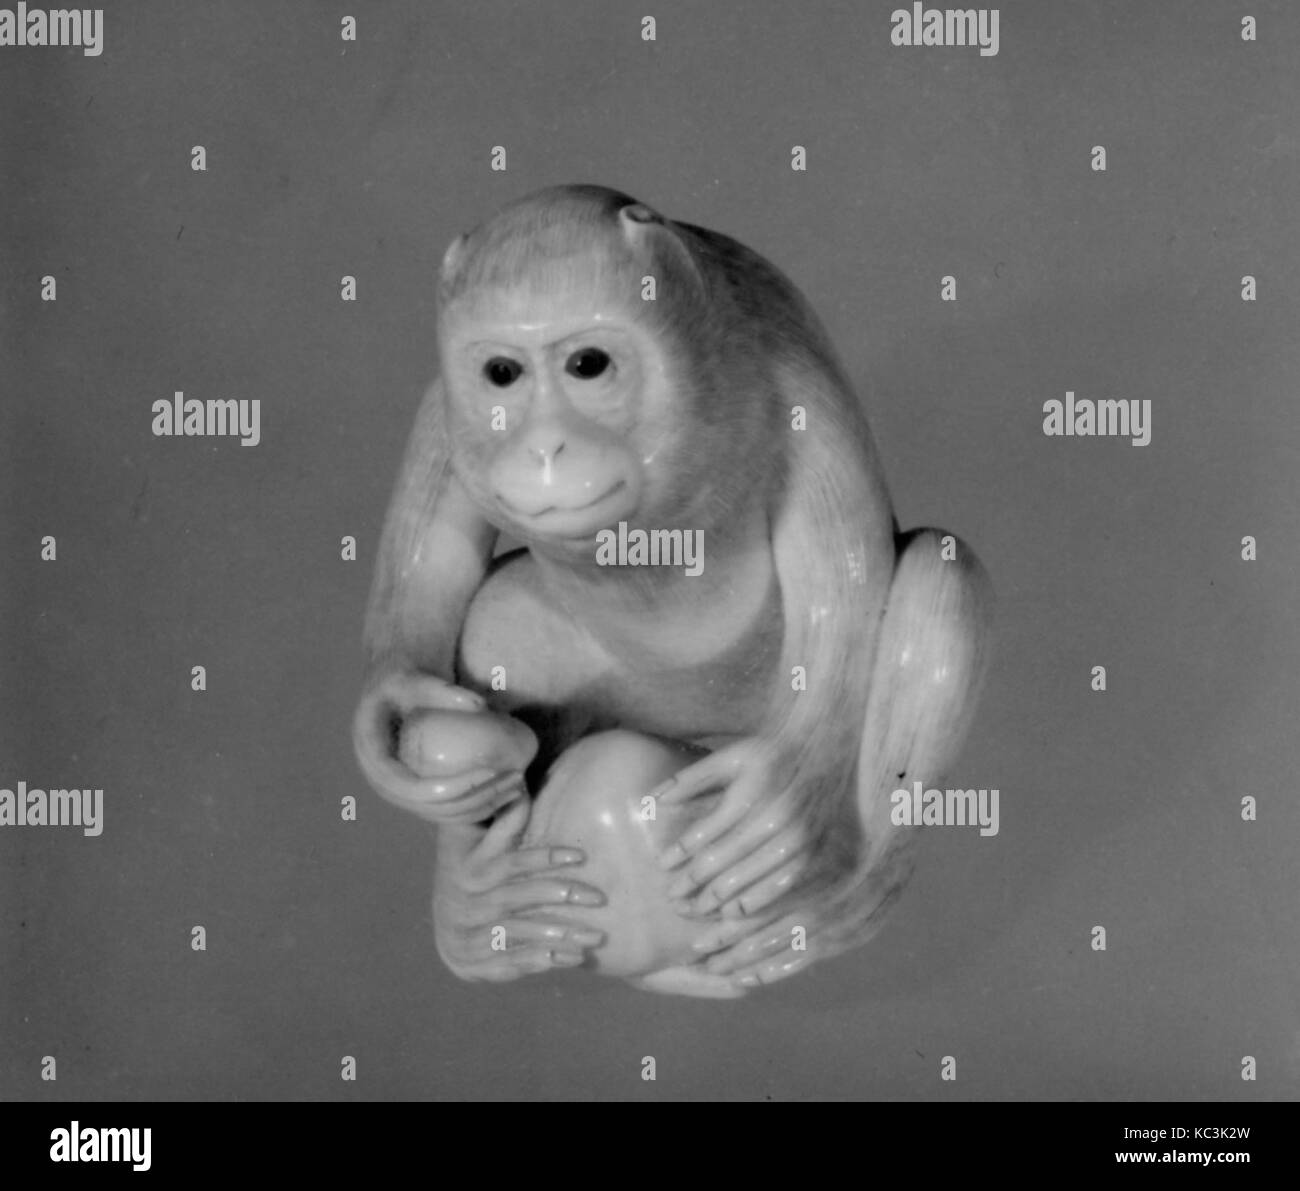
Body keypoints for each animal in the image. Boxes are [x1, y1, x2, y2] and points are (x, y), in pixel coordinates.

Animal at [353, 184, 993, 996]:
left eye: (588, 364)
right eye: (501, 374)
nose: (544, 448)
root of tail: (698, 719)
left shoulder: (789, 372)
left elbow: (844, 566)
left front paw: (784, 783)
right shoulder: (444, 408)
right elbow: (433, 540)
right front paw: (388, 714)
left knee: (941, 582)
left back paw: (845, 895)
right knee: (500, 620)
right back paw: (478, 904)